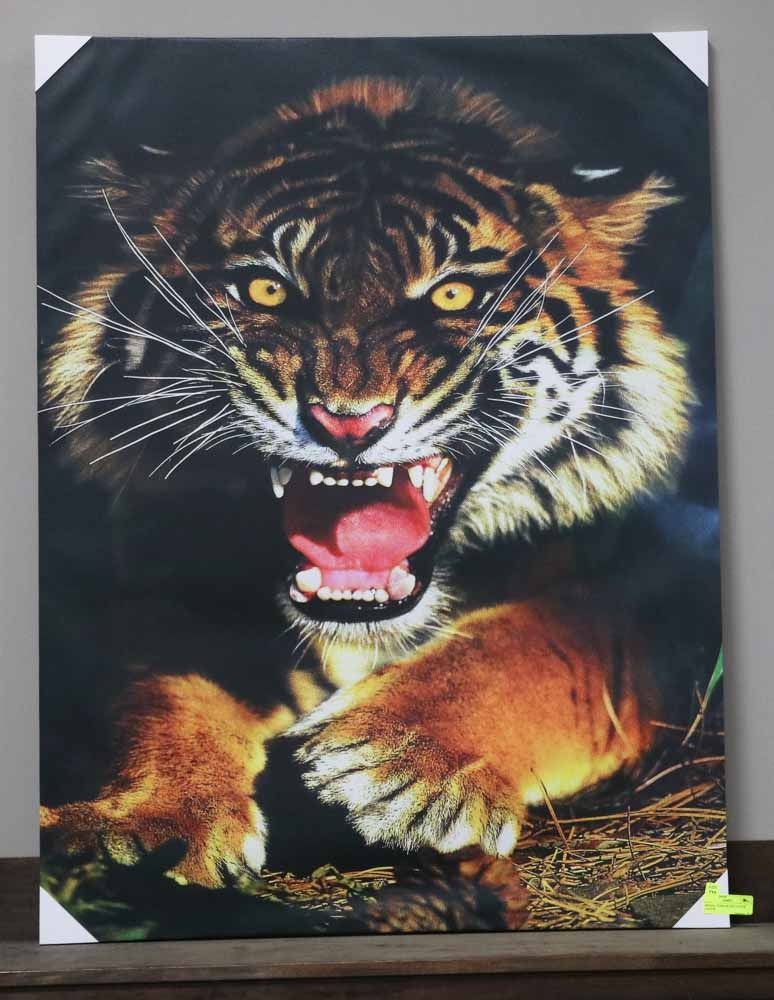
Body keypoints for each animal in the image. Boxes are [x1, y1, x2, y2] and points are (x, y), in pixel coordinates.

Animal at [39, 76, 695, 890]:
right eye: (266, 290)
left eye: (452, 297)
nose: (348, 422)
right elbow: (165, 687)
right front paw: (141, 826)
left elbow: (537, 641)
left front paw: (392, 765)